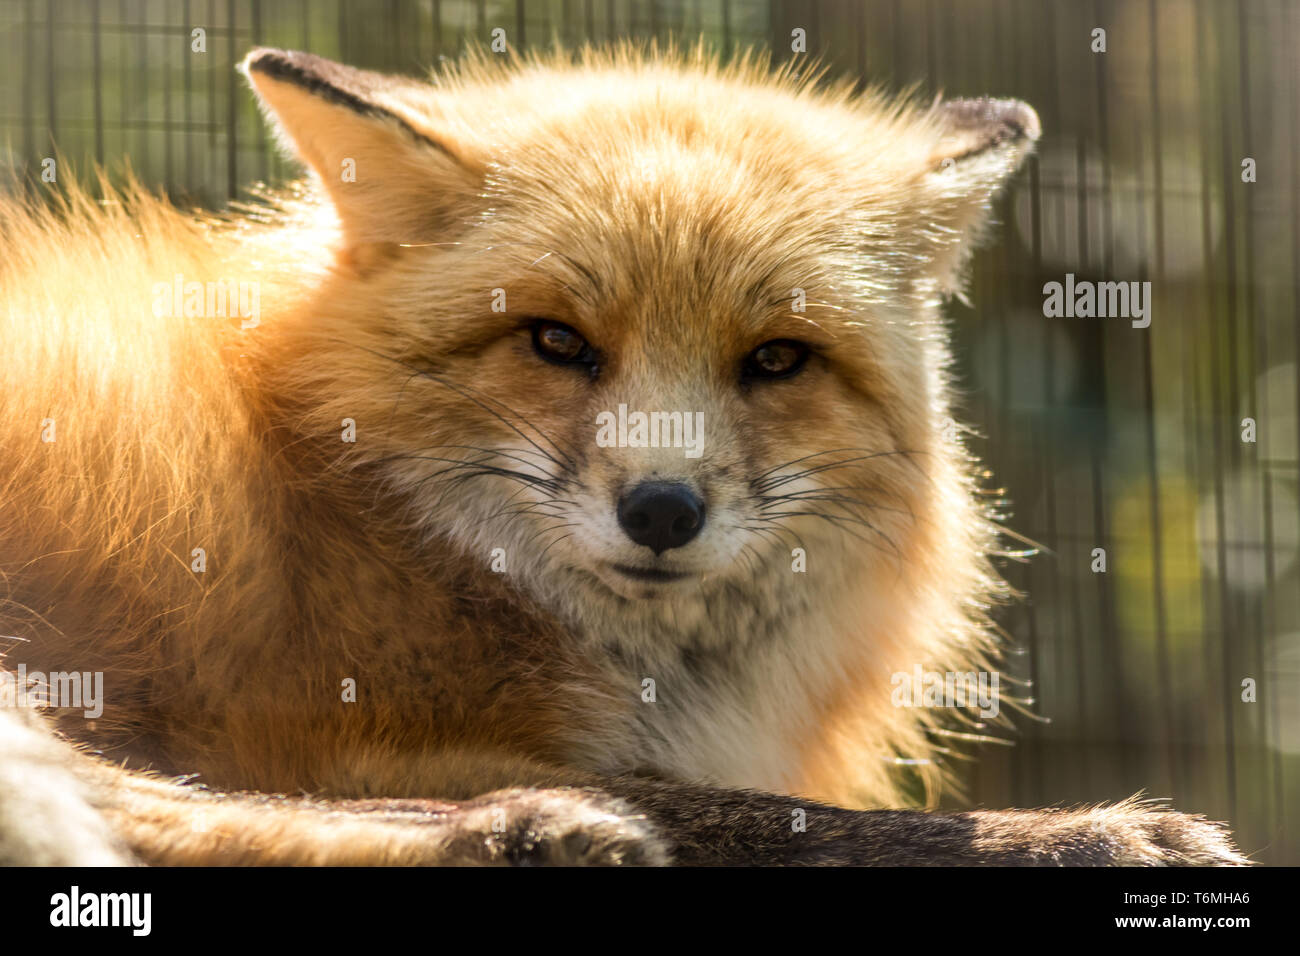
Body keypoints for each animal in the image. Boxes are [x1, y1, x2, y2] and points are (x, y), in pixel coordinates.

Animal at [0, 44, 1246, 866]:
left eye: (776, 358)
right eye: (556, 341)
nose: (660, 509)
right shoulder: (337, 734)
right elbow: (758, 813)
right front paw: (1082, 832)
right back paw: (516, 831)